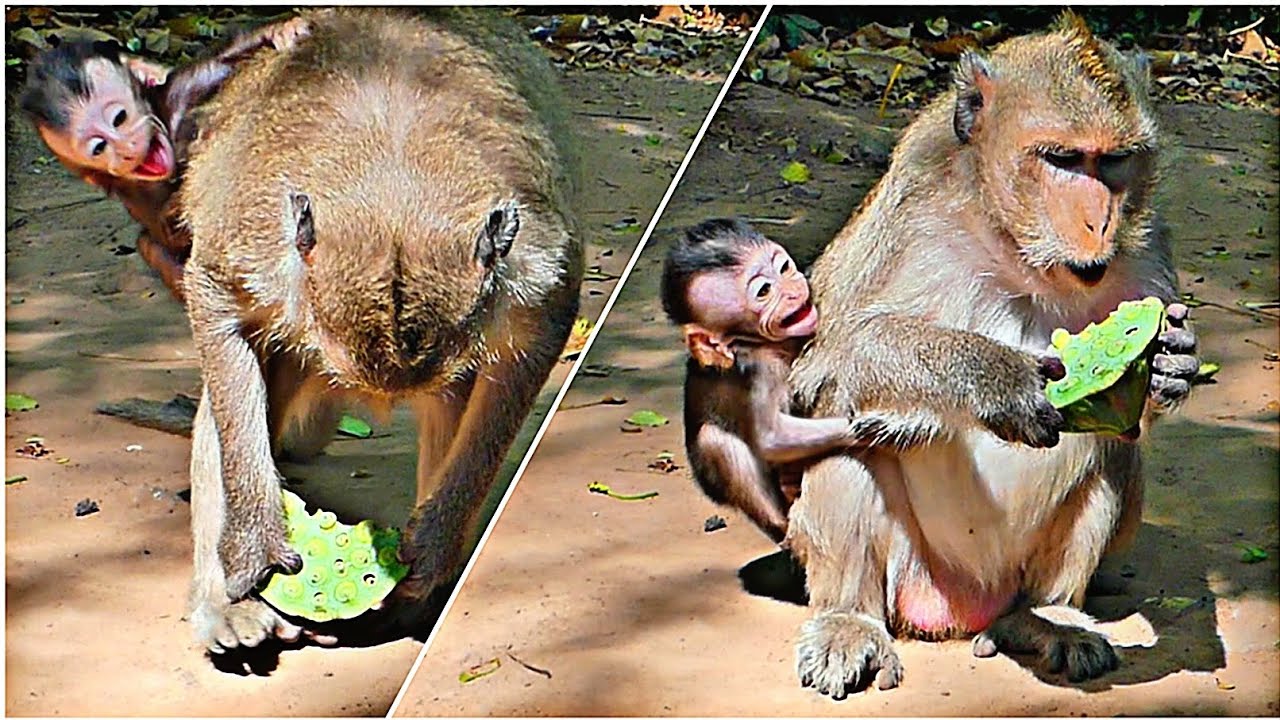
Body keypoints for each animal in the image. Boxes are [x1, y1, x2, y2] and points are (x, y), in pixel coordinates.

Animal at [18, 17, 309, 300]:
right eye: (99, 147)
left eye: (119, 118)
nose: (126, 149)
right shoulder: (133, 190)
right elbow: (165, 232)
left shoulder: (182, 89)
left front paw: (279, 31)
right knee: (148, 244)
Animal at [176, 8, 582, 652]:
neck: (394, 198)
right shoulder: (256, 241)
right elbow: (211, 296)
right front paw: (254, 549)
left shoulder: (536, 266)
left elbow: (531, 348)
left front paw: (432, 551)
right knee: (224, 404)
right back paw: (227, 605)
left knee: (451, 403)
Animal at [661, 218, 912, 543]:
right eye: (764, 290)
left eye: (783, 267)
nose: (794, 290)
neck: (758, 342)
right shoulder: (761, 371)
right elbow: (772, 437)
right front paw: (886, 427)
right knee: (716, 441)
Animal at [779, 13, 1201, 698]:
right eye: (1062, 159)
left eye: (1112, 161)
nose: (1099, 225)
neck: (1020, 253)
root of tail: (963, 605)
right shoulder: (910, 208)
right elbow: (824, 362)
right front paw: (997, 378)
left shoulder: (1151, 245)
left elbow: (1132, 403)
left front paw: (1172, 364)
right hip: (911, 572)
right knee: (843, 436)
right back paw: (849, 621)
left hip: (1013, 580)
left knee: (1114, 446)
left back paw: (1047, 618)